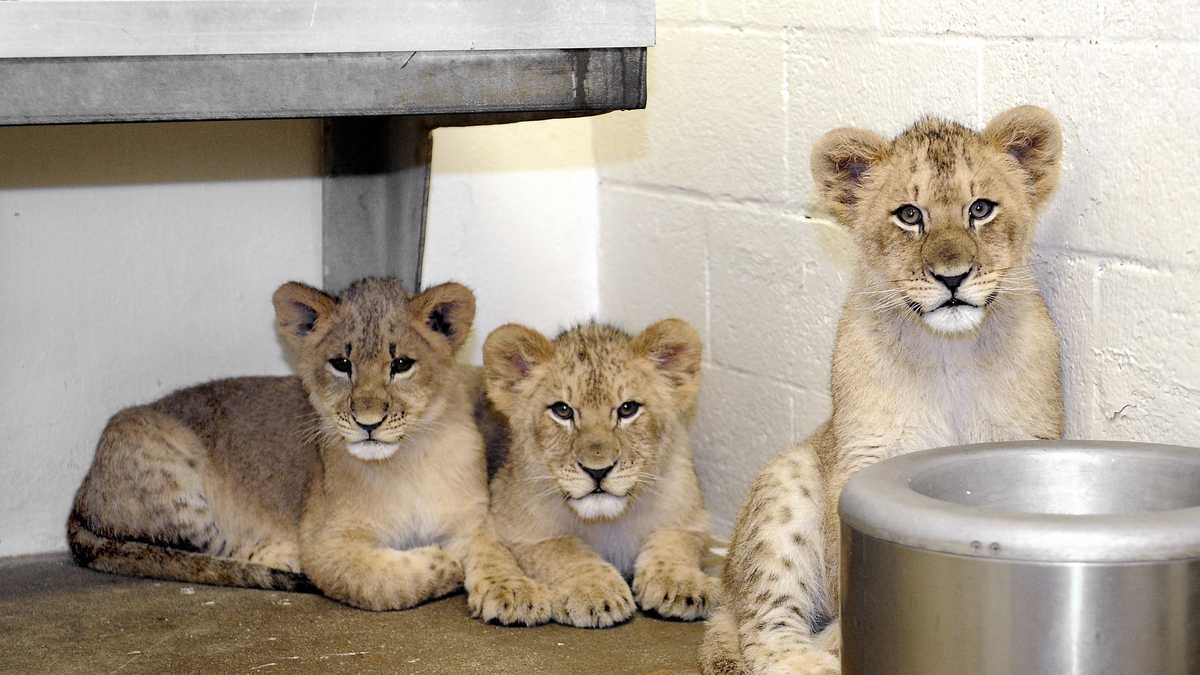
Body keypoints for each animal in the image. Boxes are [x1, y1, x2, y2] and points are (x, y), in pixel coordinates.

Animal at [68, 277, 494, 611]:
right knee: (201, 550)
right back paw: (287, 557)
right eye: (341, 364)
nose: (367, 423)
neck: (411, 457)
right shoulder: (327, 542)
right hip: (162, 463)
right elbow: (382, 585)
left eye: (402, 364)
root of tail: (81, 491)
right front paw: (445, 563)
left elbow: (490, 550)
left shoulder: (471, 519)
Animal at [463, 319, 720, 628]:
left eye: (628, 409)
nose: (598, 471)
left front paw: (682, 585)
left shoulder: (690, 519)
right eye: (562, 410)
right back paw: (514, 594)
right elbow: (563, 548)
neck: (607, 522)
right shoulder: (515, 525)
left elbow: (674, 543)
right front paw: (595, 591)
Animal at [700, 106, 1066, 673]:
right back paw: (811, 660)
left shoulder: (1029, 442)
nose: (952, 278)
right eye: (909, 215)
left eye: (981, 208)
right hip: (783, 484)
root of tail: (724, 592)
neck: (948, 352)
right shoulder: (863, 455)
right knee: (761, 630)